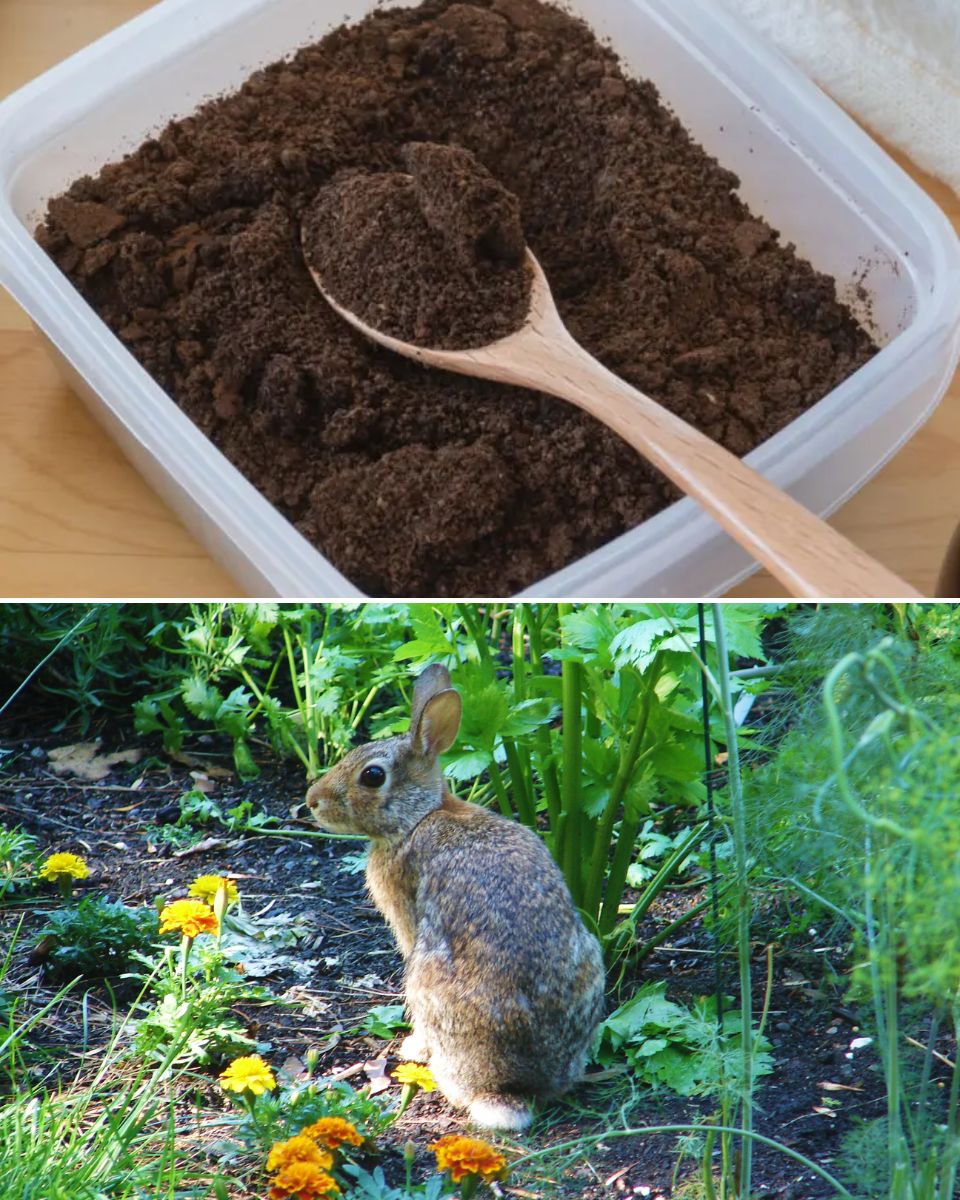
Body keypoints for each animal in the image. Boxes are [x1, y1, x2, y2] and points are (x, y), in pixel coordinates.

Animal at [304, 662, 605, 1132]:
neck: (419, 817)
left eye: (372, 776)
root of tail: (515, 1087)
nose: (311, 800)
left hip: (424, 979)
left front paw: (412, 1047)